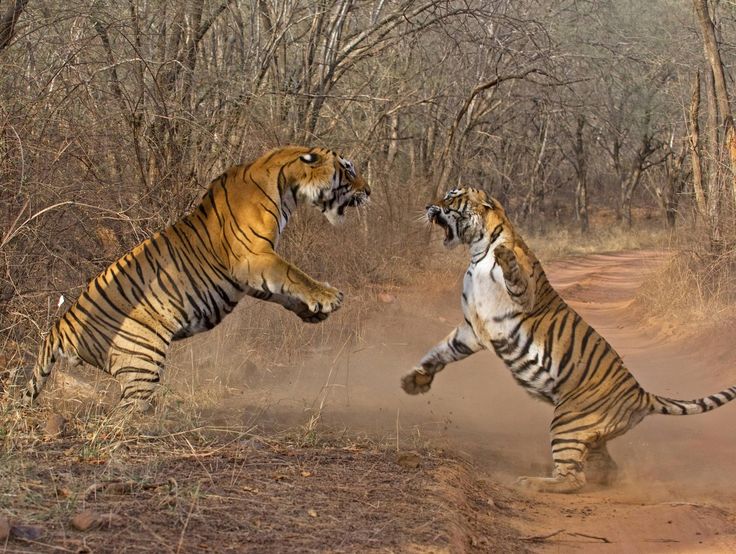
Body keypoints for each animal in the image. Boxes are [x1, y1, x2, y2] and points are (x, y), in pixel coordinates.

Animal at [22, 145, 370, 411]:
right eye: (348, 169)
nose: (369, 190)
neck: (286, 184)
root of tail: (59, 326)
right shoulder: (254, 258)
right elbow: (292, 274)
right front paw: (328, 297)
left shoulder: (252, 274)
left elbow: (282, 291)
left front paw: (313, 313)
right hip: (142, 358)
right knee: (122, 415)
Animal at [401, 187, 736, 493]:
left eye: (451, 197)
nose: (428, 206)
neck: (476, 252)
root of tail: (641, 395)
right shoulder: (472, 328)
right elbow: (441, 351)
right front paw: (414, 381)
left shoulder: (521, 298)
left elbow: (514, 274)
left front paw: (505, 255)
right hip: (590, 433)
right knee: (602, 470)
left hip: (567, 421)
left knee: (573, 479)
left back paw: (532, 482)